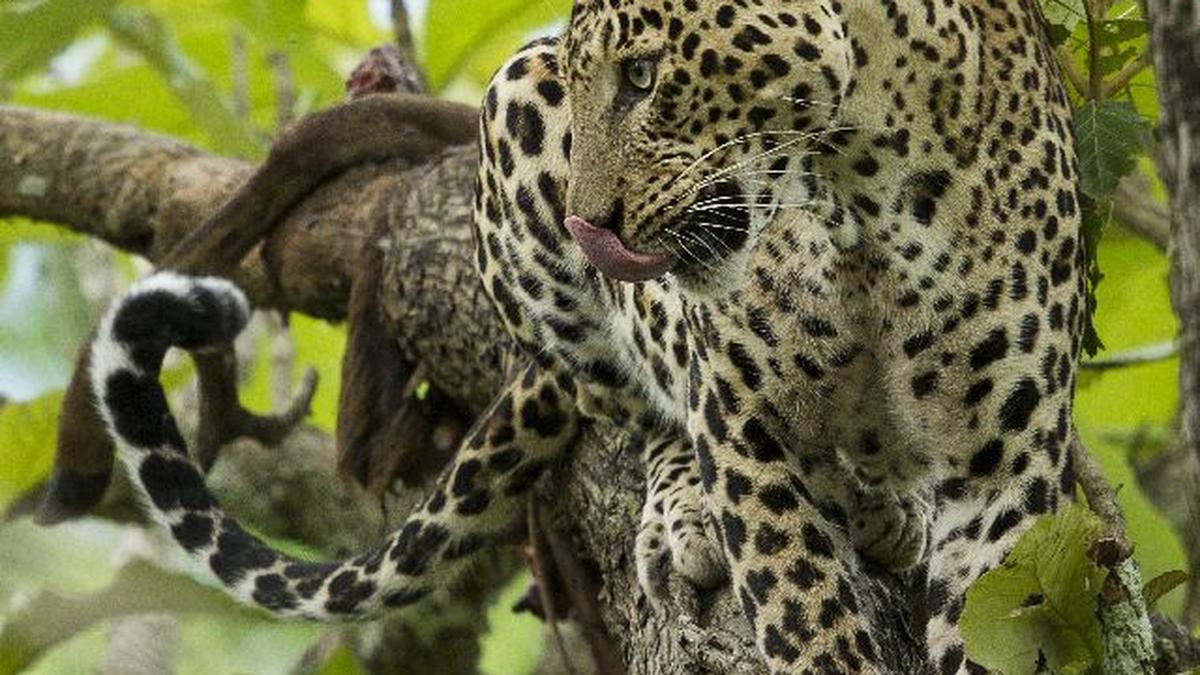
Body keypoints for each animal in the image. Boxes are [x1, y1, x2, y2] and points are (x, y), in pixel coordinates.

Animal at [88, 0, 1085, 673]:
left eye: (644, 76)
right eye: (600, 81)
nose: (588, 222)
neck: (867, 201)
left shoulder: (1007, 470)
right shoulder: (747, 425)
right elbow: (802, 605)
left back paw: (883, 507)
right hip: (512, 128)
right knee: (638, 411)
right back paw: (687, 509)